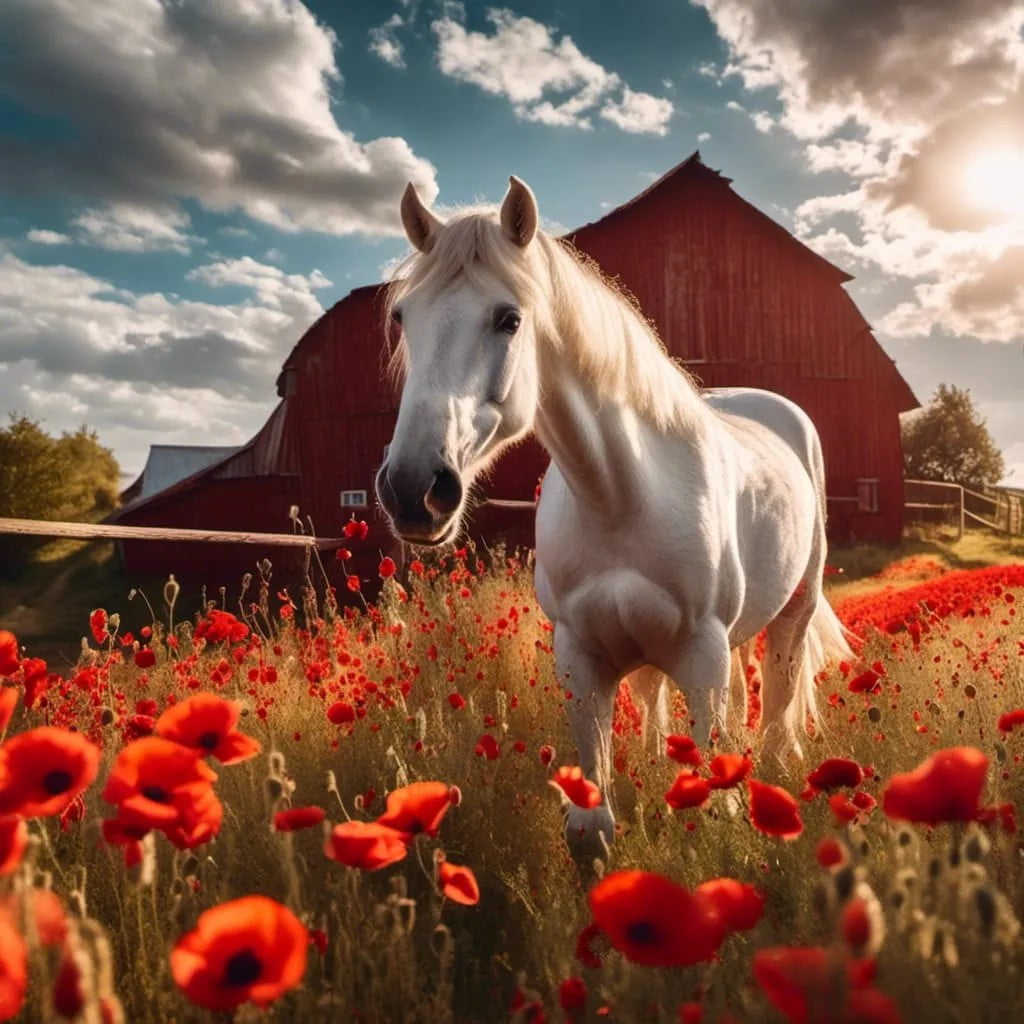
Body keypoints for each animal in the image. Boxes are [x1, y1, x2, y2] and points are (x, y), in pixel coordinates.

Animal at [376, 176, 853, 860]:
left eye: (509, 318)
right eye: (403, 318)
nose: (414, 489)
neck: (621, 497)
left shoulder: (703, 655)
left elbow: (715, 812)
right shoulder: (581, 656)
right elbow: (592, 829)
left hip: (795, 609)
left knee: (776, 701)